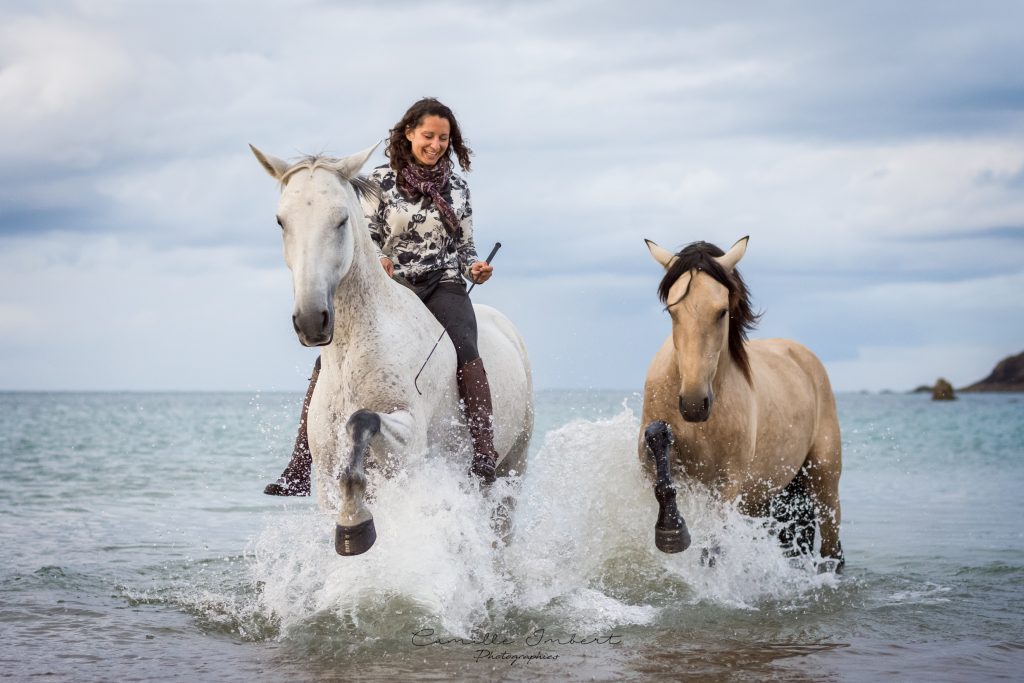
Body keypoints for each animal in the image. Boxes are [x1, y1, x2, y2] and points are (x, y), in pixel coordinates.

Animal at [250, 144, 534, 556]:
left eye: (341, 220)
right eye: (281, 221)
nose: (311, 319)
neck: (355, 352)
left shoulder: (408, 444)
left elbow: (361, 421)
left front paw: (354, 526)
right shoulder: (325, 478)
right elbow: (345, 478)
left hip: (512, 468)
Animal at [638, 236, 844, 572]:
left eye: (722, 311)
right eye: (672, 310)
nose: (693, 404)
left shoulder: (729, 483)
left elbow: (713, 550)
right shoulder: (645, 463)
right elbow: (659, 457)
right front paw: (671, 531)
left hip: (824, 482)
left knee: (832, 550)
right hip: (771, 498)